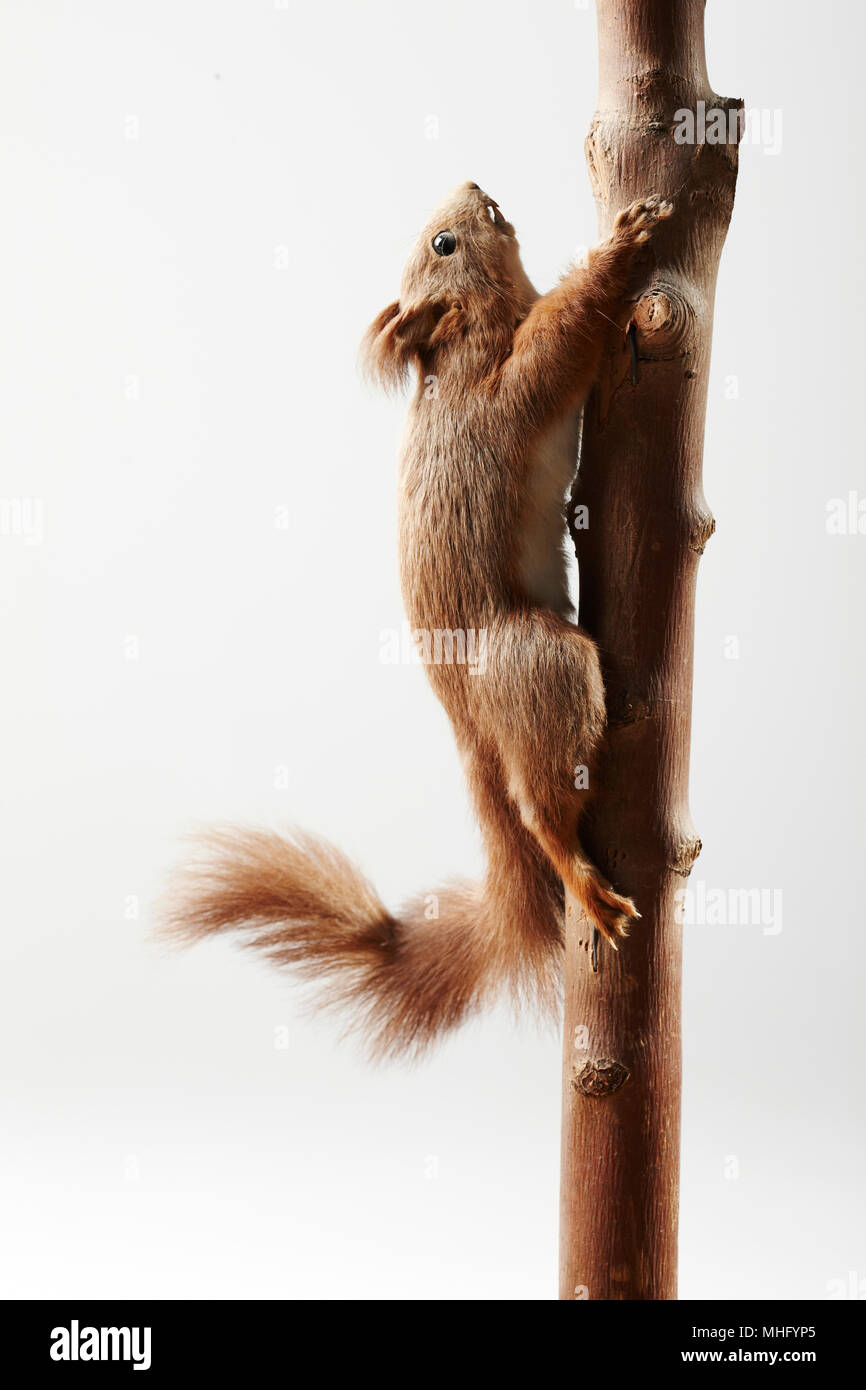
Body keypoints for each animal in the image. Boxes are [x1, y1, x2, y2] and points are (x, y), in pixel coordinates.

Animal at [164, 182, 673, 1058]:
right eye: (443, 244)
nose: (477, 188)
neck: (459, 348)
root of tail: (469, 724)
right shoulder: (496, 396)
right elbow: (553, 345)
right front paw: (617, 248)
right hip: (532, 661)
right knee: (539, 801)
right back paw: (581, 878)